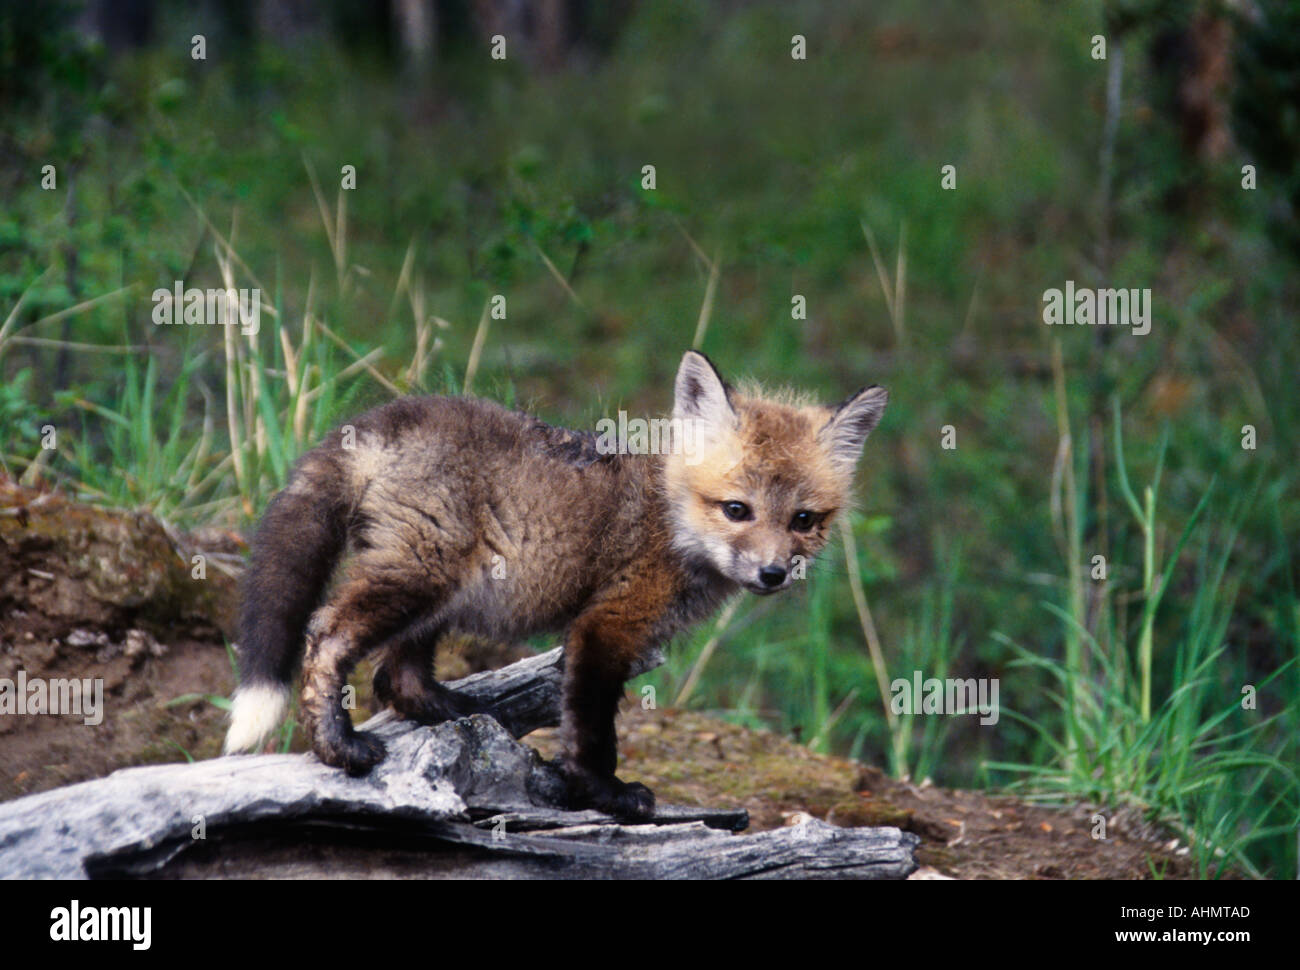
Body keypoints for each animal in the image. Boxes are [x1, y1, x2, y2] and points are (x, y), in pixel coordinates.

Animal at [223, 350, 887, 818]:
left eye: (804, 520)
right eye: (736, 510)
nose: (772, 574)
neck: (669, 517)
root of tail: (386, 416)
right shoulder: (606, 624)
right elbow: (592, 731)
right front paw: (605, 794)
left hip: (442, 587)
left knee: (397, 678)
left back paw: (454, 711)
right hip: (420, 576)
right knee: (328, 636)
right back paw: (338, 746)